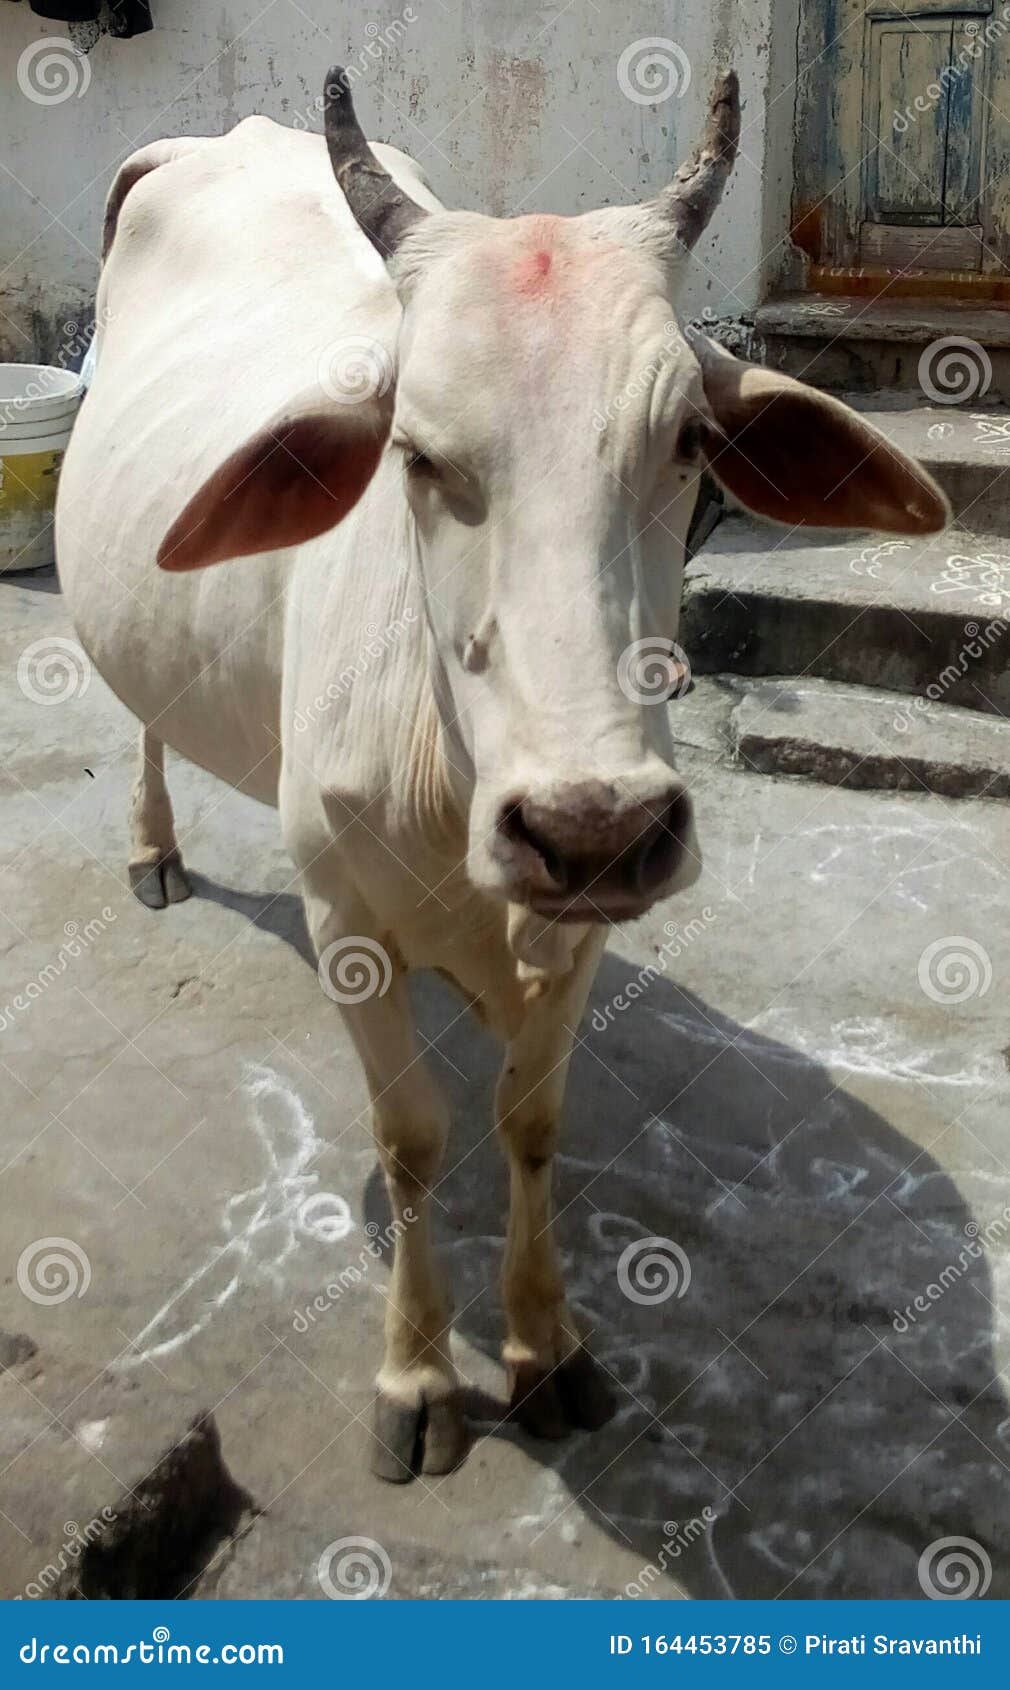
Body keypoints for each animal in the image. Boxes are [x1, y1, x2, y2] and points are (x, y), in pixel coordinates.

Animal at [56, 67, 947, 1482]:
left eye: (687, 440)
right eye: (415, 454)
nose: (587, 824)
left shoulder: (583, 928)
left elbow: (529, 1128)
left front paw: (544, 1349)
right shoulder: (345, 922)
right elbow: (412, 1141)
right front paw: (418, 1377)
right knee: (141, 717)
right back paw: (152, 846)